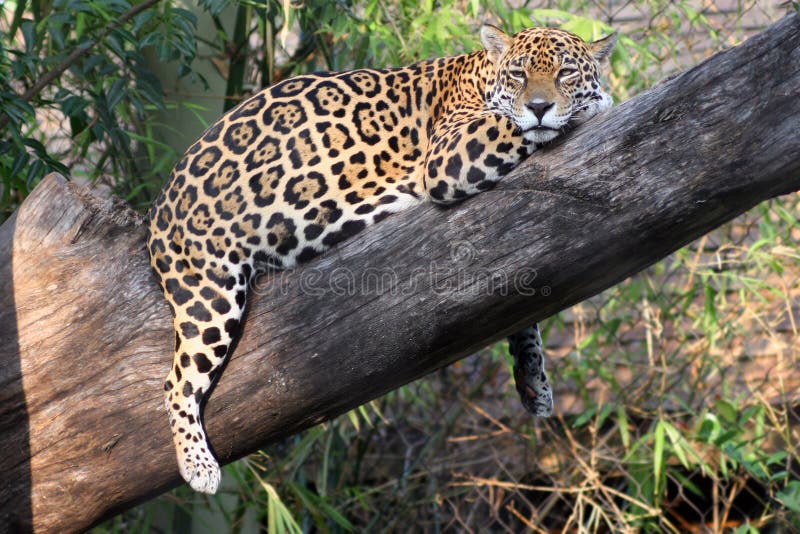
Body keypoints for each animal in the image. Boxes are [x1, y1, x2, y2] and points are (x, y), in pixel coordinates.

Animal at [146, 24, 616, 494]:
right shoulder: (449, 153)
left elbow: (522, 313)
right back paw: (198, 465)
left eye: (565, 72)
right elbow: (512, 124)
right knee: (176, 383)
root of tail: (157, 210)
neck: (480, 76)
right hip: (209, 294)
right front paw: (596, 104)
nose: (539, 107)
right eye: (519, 74)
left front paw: (533, 381)